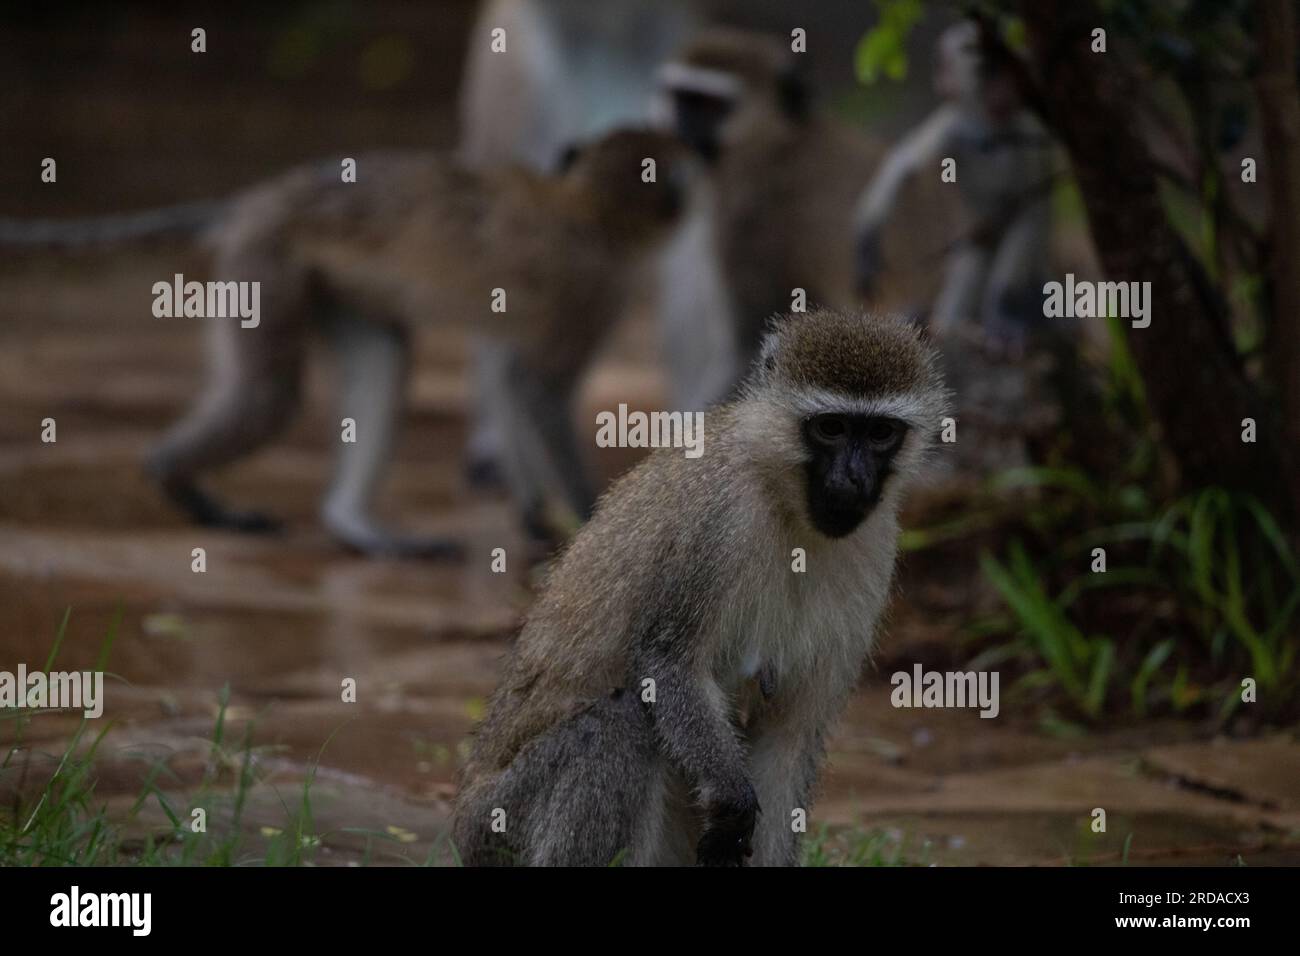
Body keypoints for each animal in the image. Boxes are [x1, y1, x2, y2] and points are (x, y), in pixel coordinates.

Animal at [0, 130, 699, 556]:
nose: (688, 194)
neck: (587, 203)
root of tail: (270, 195)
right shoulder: (593, 287)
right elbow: (538, 387)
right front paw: (586, 519)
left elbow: (510, 376)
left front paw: (536, 515)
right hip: (264, 261)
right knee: (269, 396)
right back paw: (174, 477)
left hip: (326, 281)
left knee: (384, 357)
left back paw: (354, 525)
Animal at [452, 308, 949, 866]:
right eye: (831, 428)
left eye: (882, 432)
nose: (854, 477)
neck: (785, 500)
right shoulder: (718, 520)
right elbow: (670, 664)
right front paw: (732, 800)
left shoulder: (877, 545)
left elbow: (790, 738)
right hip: (498, 825)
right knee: (616, 726)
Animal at [655, 28, 878, 411]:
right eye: (683, 99)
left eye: (710, 106)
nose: (682, 129)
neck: (778, 140)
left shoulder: (748, 218)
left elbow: (749, 344)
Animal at [853, 20, 1057, 360]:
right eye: (990, 69)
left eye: (1011, 69)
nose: (1009, 91)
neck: (988, 128)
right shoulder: (955, 127)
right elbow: (904, 165)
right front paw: (866, 244)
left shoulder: (1025, 131)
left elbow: (1031, 210)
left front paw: (1004, 318)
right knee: (973, 261)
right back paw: (944, 326)